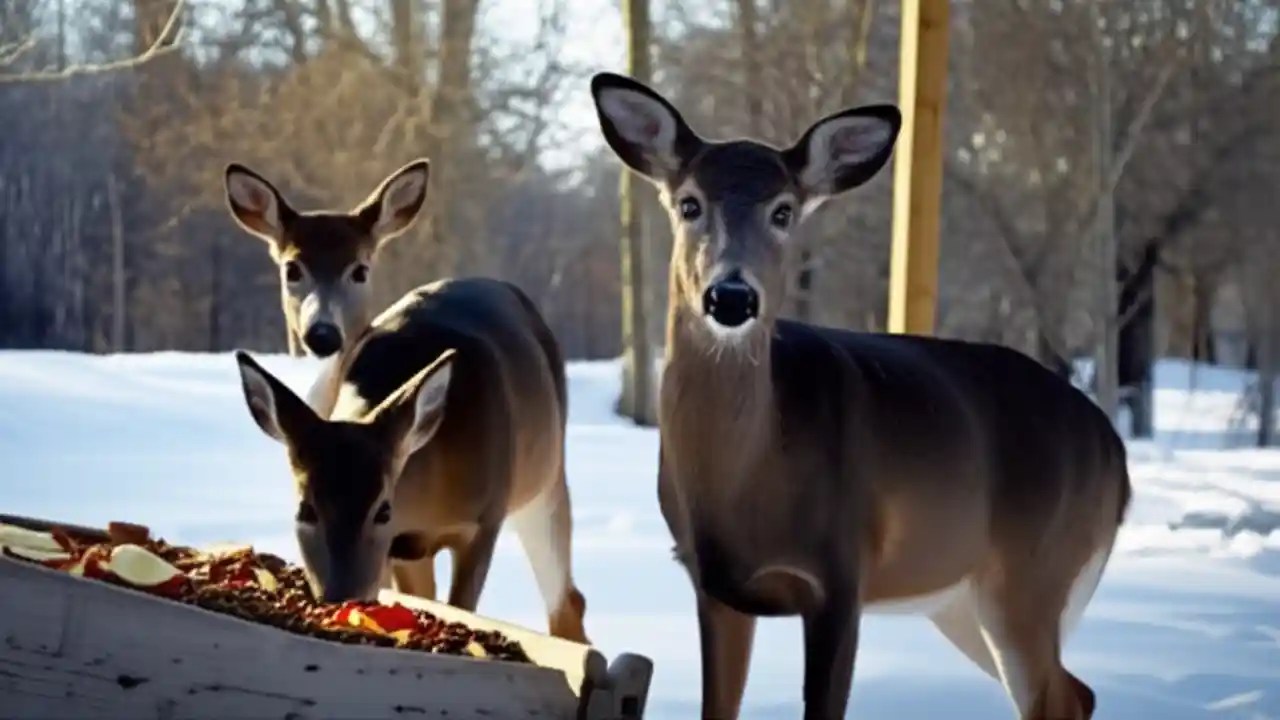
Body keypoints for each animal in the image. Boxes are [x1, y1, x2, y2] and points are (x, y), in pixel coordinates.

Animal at [221, 159, 589, 643]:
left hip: (544, 481)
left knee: (567, 601)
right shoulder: (397, 550)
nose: (343, 596)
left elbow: (464, 604)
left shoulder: (483, 521)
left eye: (383, 509)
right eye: (304, 509)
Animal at [589, 72, 1131, 720]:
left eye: (784, 210)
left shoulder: (840, 575)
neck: (749, 477)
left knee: (1056, 696)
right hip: (960, 599)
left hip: (1033, 573)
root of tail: (1115, 451)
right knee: (1078, 690)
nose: (732, 296)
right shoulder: (715, 587)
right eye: (689, 203)